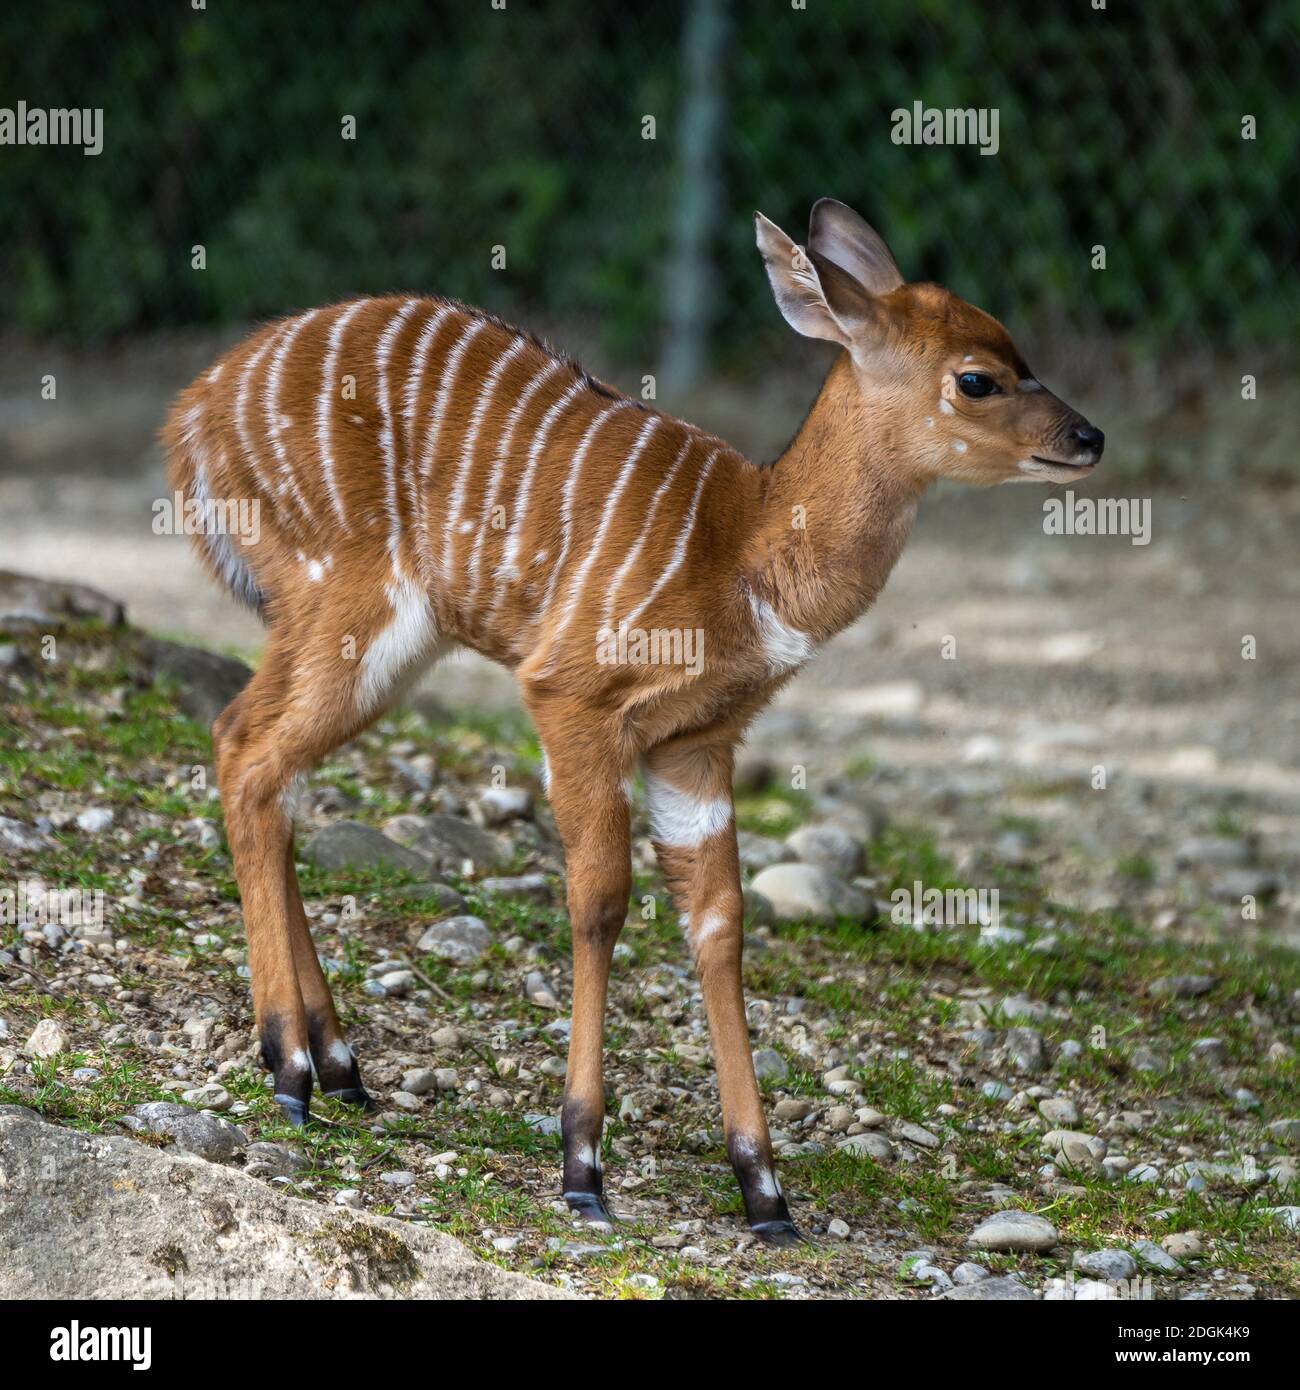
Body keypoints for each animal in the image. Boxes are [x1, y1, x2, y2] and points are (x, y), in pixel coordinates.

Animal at [163, 199, 1103, 1244]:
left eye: (1018, 350)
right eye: (978, 378)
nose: (1089, 437)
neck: (748, 553)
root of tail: (193, 414)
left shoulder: (696, 743)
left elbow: (720, 923)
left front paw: (765, 1193)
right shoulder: (569, 696)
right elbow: (601, 901)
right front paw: (582, 1167)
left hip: (377, 641)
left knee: (254, 753)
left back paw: (337, 1066)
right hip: (349, 610)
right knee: (251, 754)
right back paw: (289, 1067)